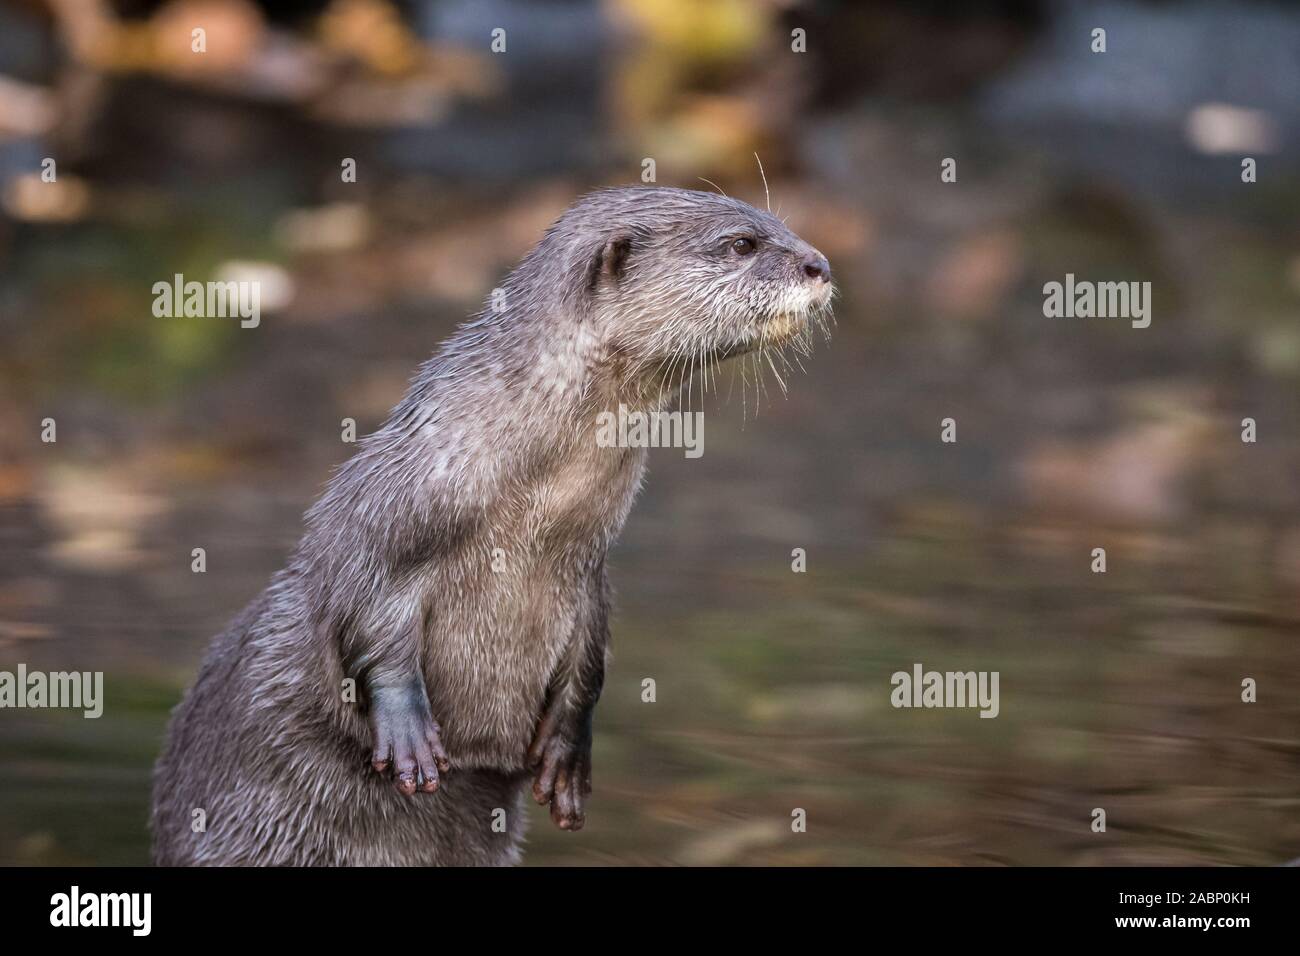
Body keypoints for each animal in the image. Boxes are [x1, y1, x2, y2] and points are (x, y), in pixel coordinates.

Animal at [151, 186, 833, 865]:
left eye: (780, 223)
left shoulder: (588, 570)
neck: (527, 521)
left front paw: (568, 752)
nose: (819, 264)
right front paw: (408, 733)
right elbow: (368, 616)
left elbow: (590, 663)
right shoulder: (383, 521)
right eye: (742, 243)